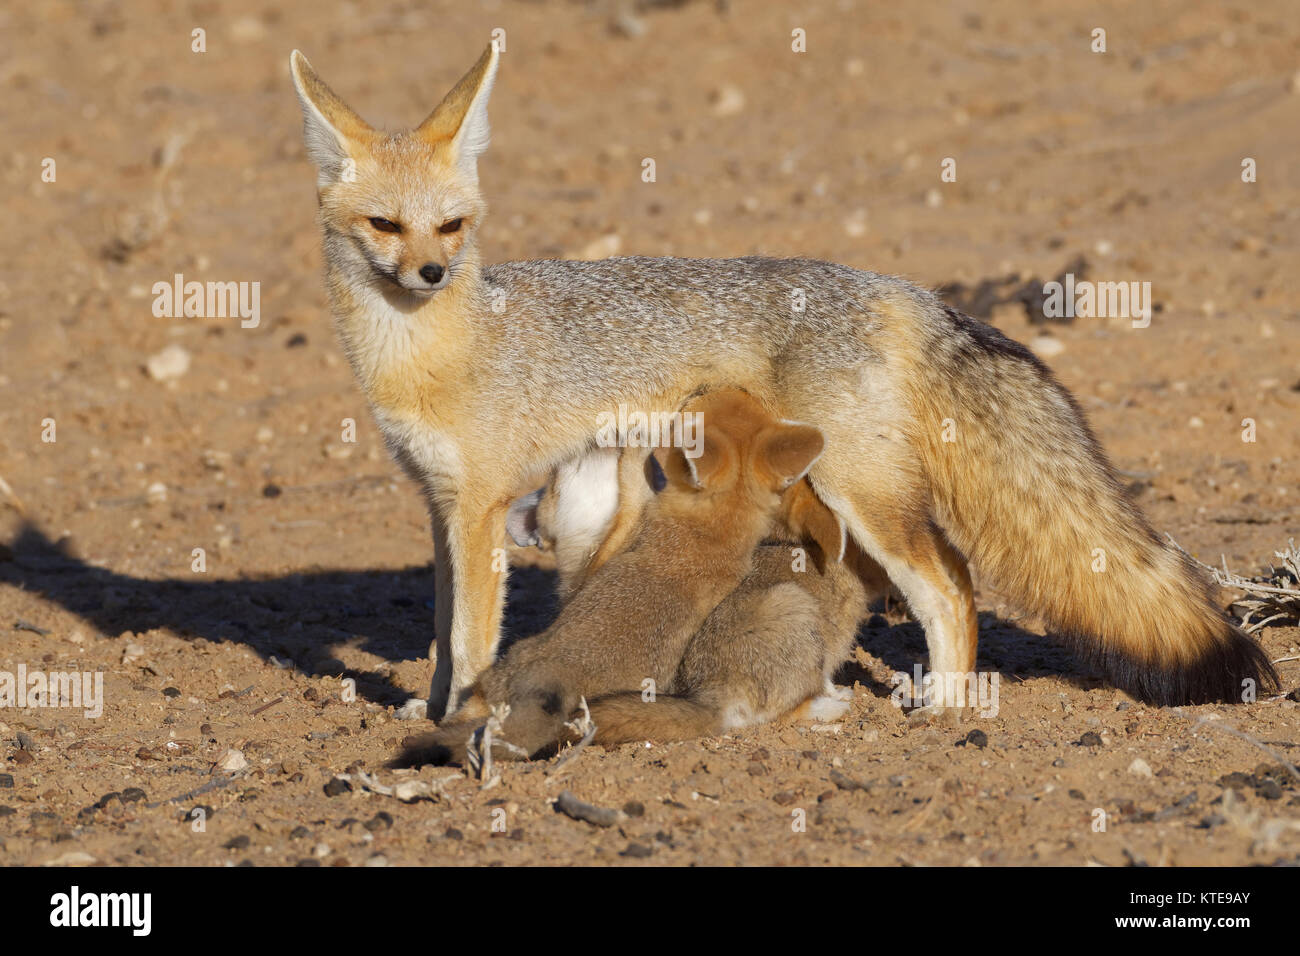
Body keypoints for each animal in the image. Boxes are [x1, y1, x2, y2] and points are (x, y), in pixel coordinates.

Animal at [289, 42, 1277, 719]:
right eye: (386, 225)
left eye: (452, 226)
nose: (431, 275)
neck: (427, 351)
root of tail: (893, 286)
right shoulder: (442, 505)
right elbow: (441, 632)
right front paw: (426, 706)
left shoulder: (485, 506)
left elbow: (470, 635)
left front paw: (459, 718)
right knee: (952, 573)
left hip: (857, 490)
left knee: (950, 584)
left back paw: (947, 704)